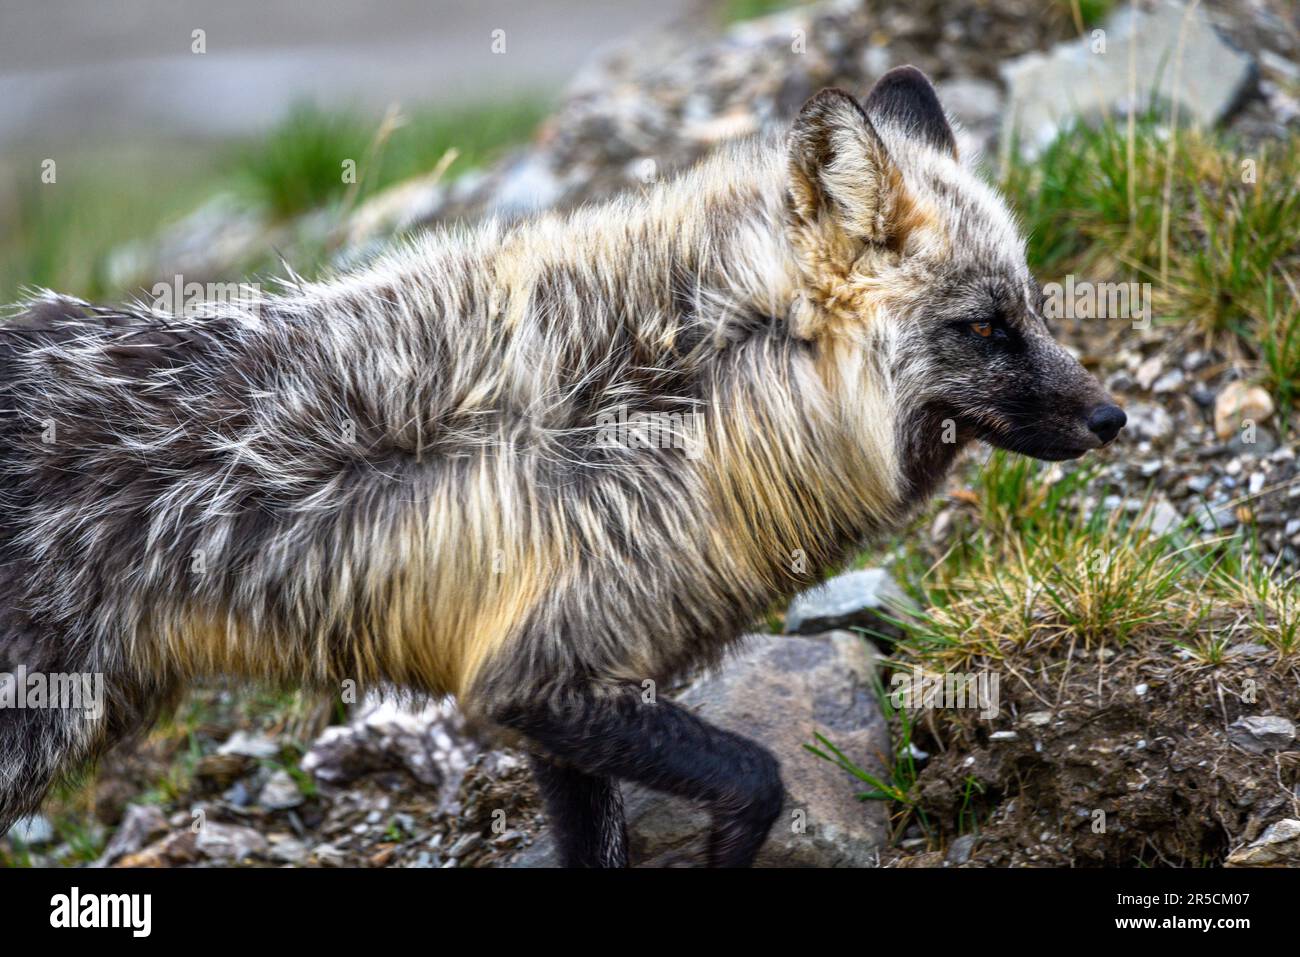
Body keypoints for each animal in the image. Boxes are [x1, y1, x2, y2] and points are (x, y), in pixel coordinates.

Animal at [0, 67, 1124, 866]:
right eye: (985, 326)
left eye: (1035, 307)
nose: (1111, 416)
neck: (685, 399)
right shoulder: (539, 676)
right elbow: (757, 778)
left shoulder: (556, 689)